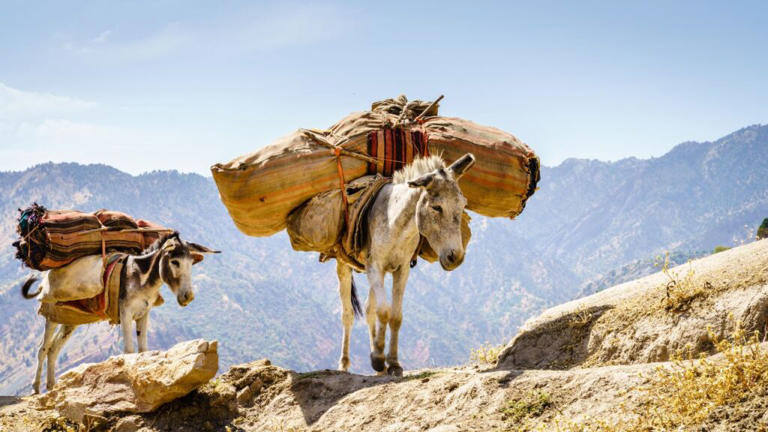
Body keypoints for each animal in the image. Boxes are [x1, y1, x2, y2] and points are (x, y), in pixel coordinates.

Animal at [20, 231, 219, 394]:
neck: (141, 277)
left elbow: (143, 350)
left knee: (54, 350)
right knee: (43, 349)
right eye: (174, 262)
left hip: (70, 319)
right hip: (51, 314)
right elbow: (129, 351)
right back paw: (36, 388)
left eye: (191, 263)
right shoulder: (125, 312)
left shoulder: (143, 314)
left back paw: (52, 387)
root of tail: (46, 276)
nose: (188, 297)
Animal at [337, 153, 475, 376]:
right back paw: (344, 363)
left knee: (368, 308)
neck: (396, 224)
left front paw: (391, 363)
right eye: (436, 207)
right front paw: (378, 359)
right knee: (348, 313)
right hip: (346, 266)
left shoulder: (400, 270)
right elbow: (383, 311)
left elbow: (395, 316)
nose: (456, 257)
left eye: (463, 204)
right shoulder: (376, 266)